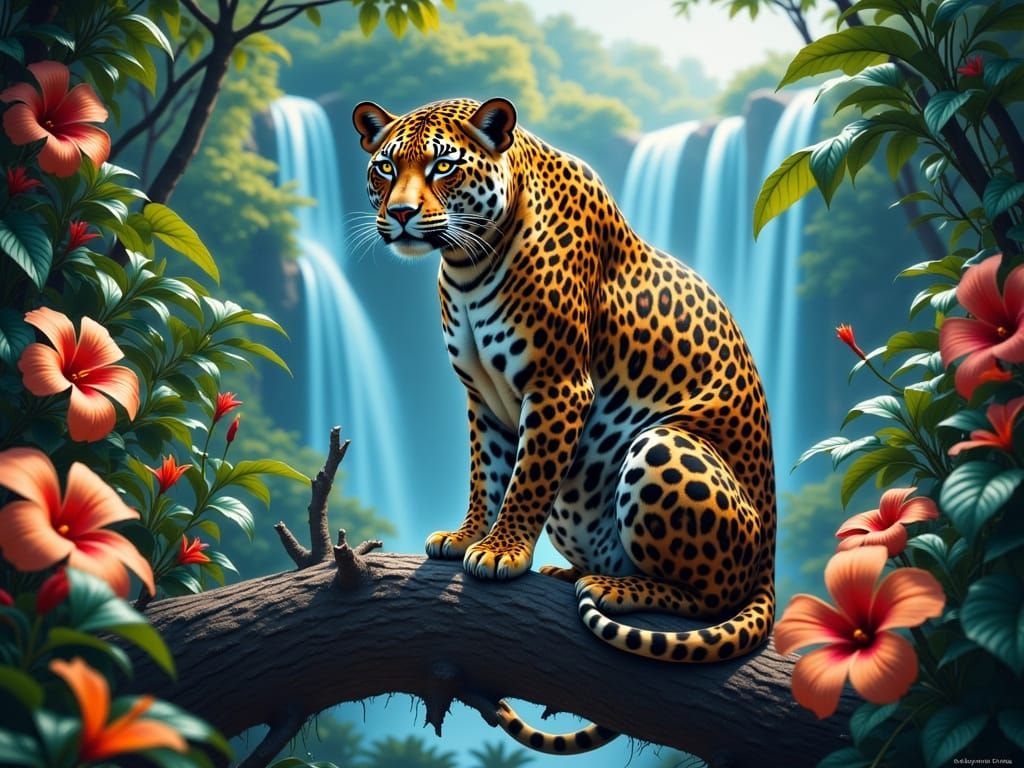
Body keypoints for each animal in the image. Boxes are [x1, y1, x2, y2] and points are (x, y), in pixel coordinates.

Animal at [353, 96, 776, 755]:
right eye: (385, 168)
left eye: (443, 166)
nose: (399, 214)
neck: (467, 263)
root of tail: (773, 566)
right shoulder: (481, 398)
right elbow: (486, 475)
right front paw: (465, 536)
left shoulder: (557, 386)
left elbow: (526, 480)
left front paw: (499, 552)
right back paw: (571, 569)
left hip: (663, 446)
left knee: (711, 598)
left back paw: (616, 589)